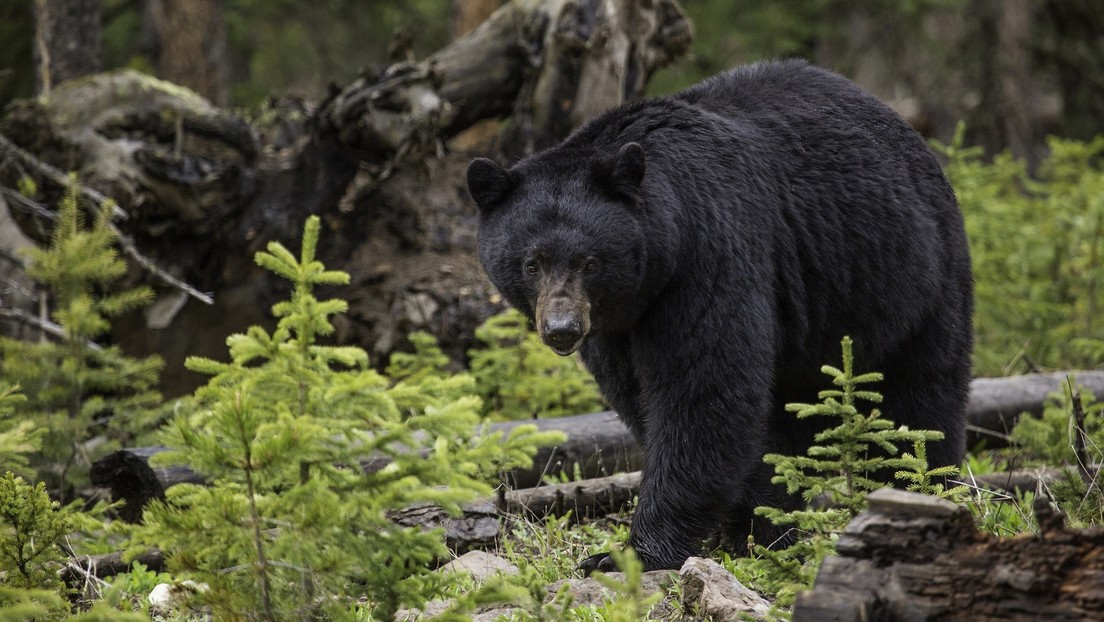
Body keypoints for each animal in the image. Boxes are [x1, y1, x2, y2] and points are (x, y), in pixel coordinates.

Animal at [466, 59, 973, 572]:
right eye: (531, 263)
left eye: (590, 262)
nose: (562, 330)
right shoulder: (616, 326)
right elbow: (643, 397)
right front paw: (753, 527)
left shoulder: (709, 254)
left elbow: (704, 392)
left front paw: (632, 553)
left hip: (913, 278)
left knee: (920, 397)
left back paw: (919, 489)